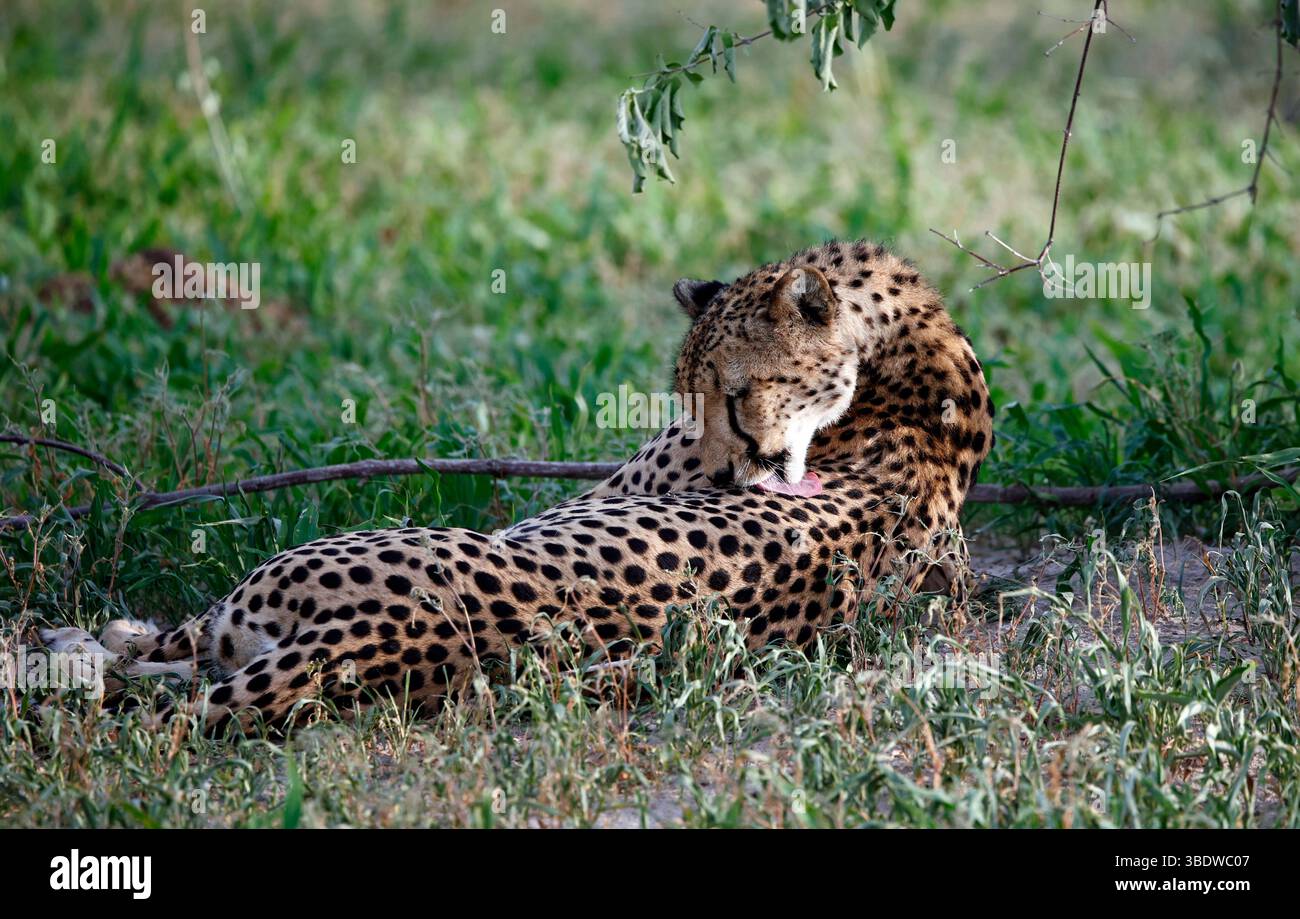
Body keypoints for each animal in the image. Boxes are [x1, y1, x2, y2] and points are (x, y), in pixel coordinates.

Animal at [41, 240, 993, 734]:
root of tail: (404, 634)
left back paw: (77, 646)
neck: (906, 353)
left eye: (735, 391)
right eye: (689, 392)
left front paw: (99, 634)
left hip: (286, 586)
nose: (730, 474)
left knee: (165, 660)